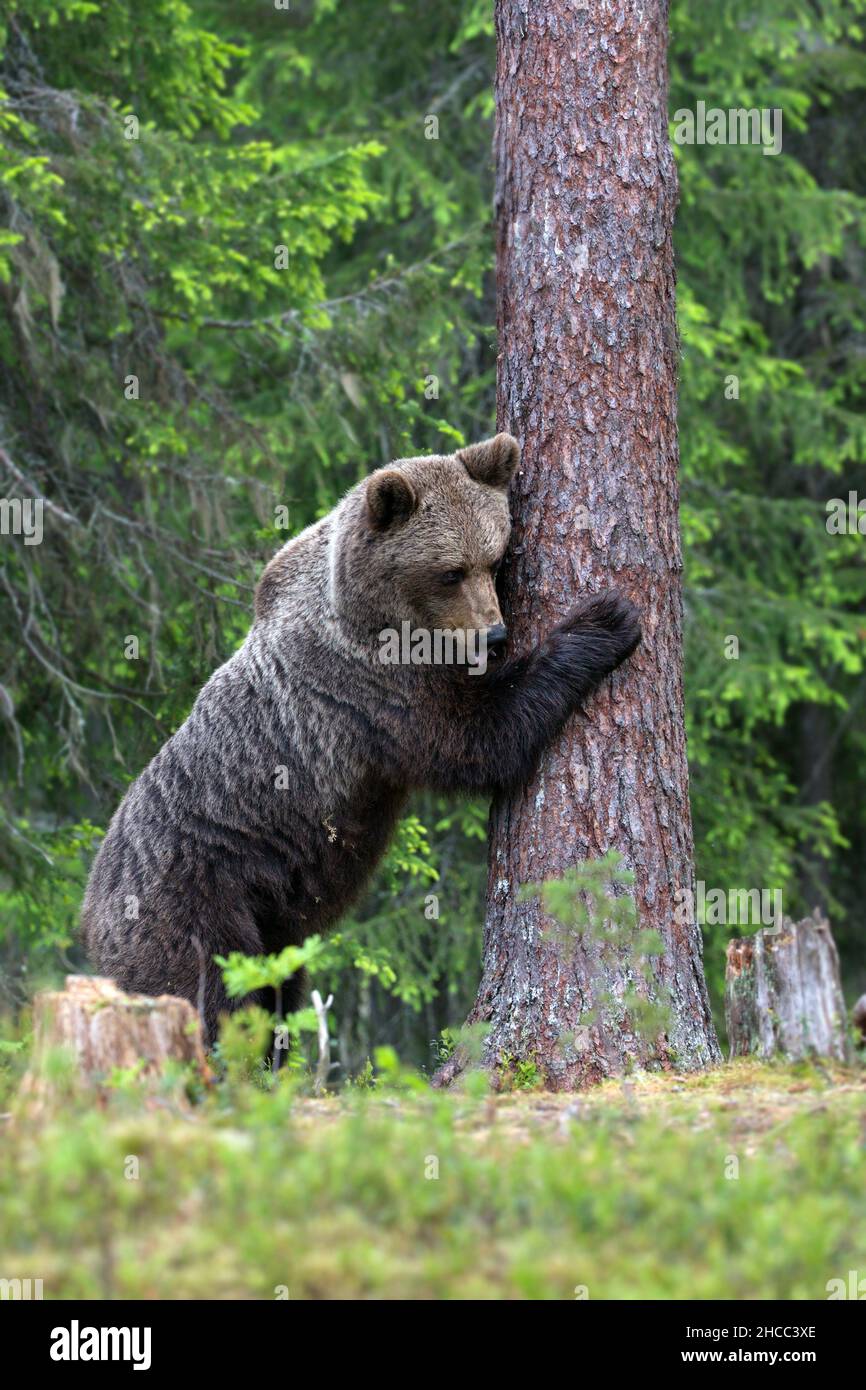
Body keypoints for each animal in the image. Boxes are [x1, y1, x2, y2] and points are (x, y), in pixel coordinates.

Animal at [81, 433, 641, 1044]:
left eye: (494, 559)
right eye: (449, 572)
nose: (493, 636)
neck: (381, 613)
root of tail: (91, 905)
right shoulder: (368, 689)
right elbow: (479, 738)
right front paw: (606, 620)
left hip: (271, 930)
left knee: (277, 998)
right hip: (193, 904)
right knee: (212, 1003)